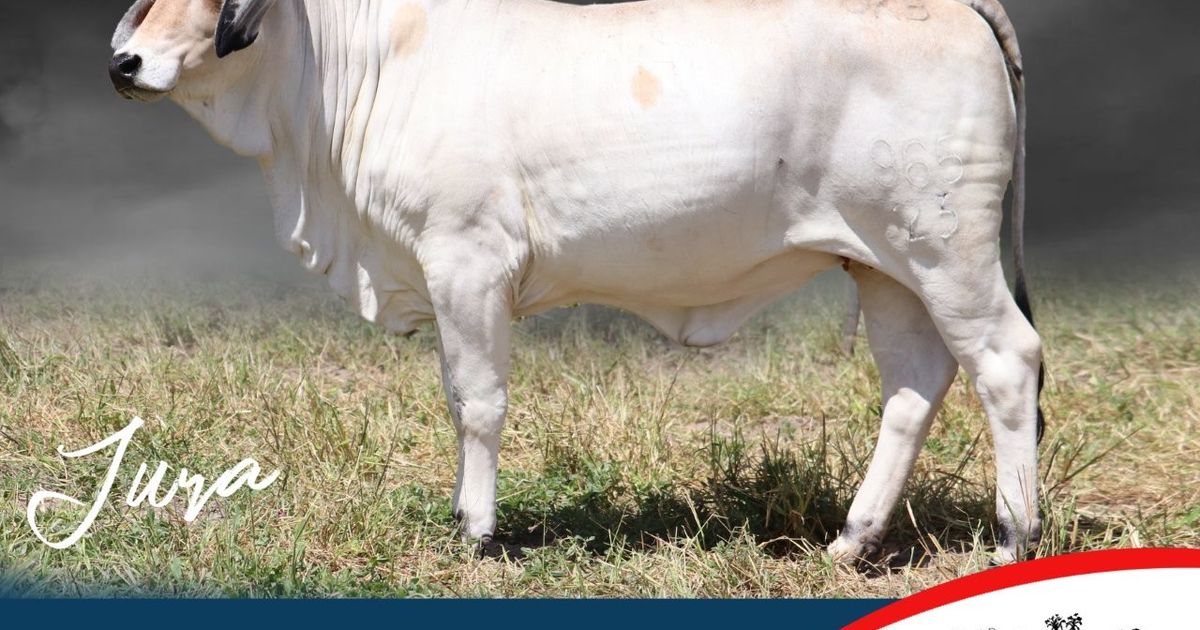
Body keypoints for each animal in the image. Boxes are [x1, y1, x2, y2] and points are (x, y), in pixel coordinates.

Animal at [109, 0, 1045, 565]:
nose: (123, 62)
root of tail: (958, 6)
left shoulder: (467, 261)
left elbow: (477, 402)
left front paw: (478, 532)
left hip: (947, 248)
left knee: (1006, 362)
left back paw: (1014, 537)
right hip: (885, 265)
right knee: (913, 385)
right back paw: (852, 539)